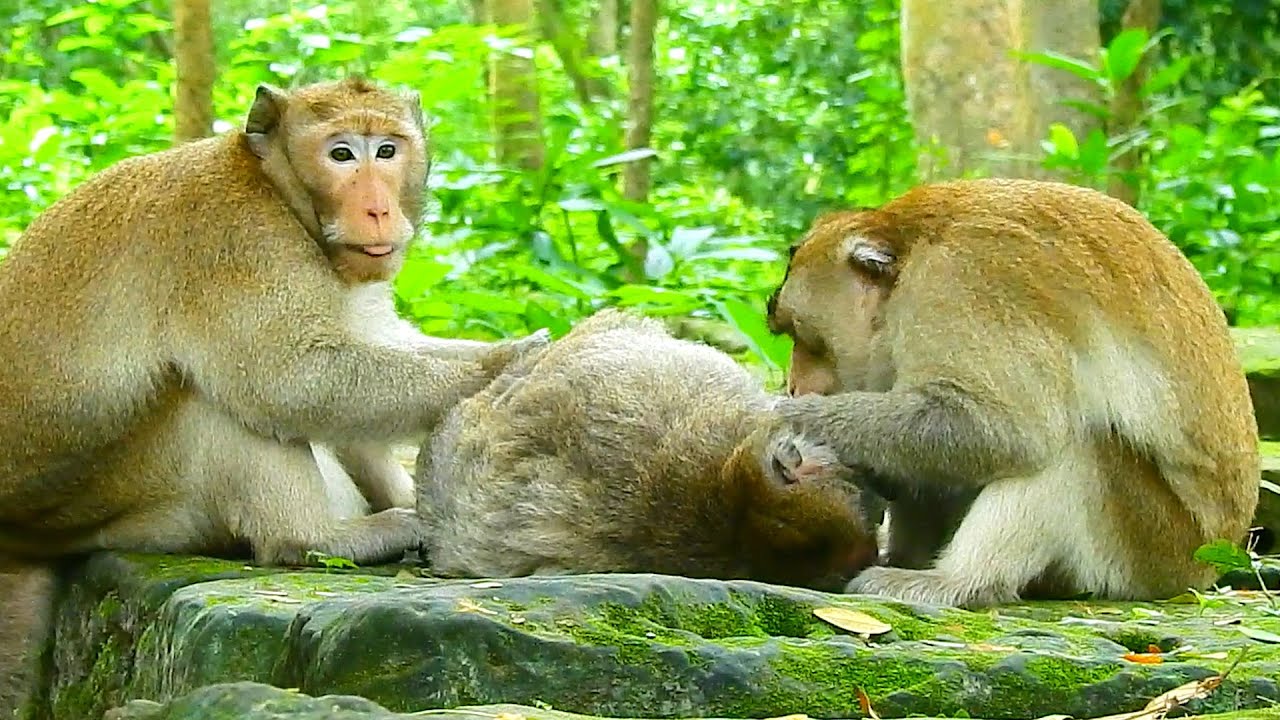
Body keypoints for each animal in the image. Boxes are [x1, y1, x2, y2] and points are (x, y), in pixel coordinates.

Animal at [0, 77, 545, 713]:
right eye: (342, 154)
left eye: (387, 150)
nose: (378, 209)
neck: (275, 190)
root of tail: (18, 536)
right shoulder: (235, 240)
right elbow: (293, 376)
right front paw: (506, 362)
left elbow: (365, 355)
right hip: (115, 497)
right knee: (221, 398)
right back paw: (317, 539)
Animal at [765, 177, 1260, 608]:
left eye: (805, 340)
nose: (795, 383)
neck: (911, 254)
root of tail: (1204, 570)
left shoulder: (963, 280)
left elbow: (1001, 429)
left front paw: (790, 415)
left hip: (1150, 548)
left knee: (1076, 444)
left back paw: (959, 583)